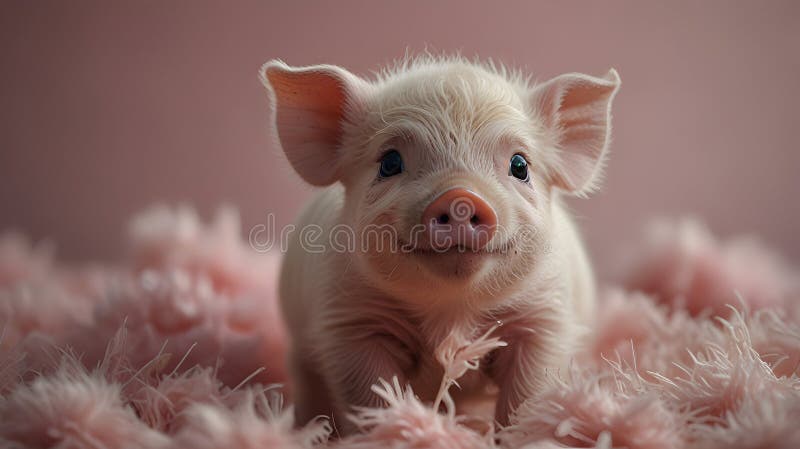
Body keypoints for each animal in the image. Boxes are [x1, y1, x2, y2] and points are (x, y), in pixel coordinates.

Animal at [260, 55, 620, 432]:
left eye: (520, 165)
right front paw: (393, 429)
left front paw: (519, 435)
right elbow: (372, 393)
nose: (461, 197)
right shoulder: (350, 322)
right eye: (390, 162)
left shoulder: (545, 319)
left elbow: (528, 394)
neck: (452, 311)